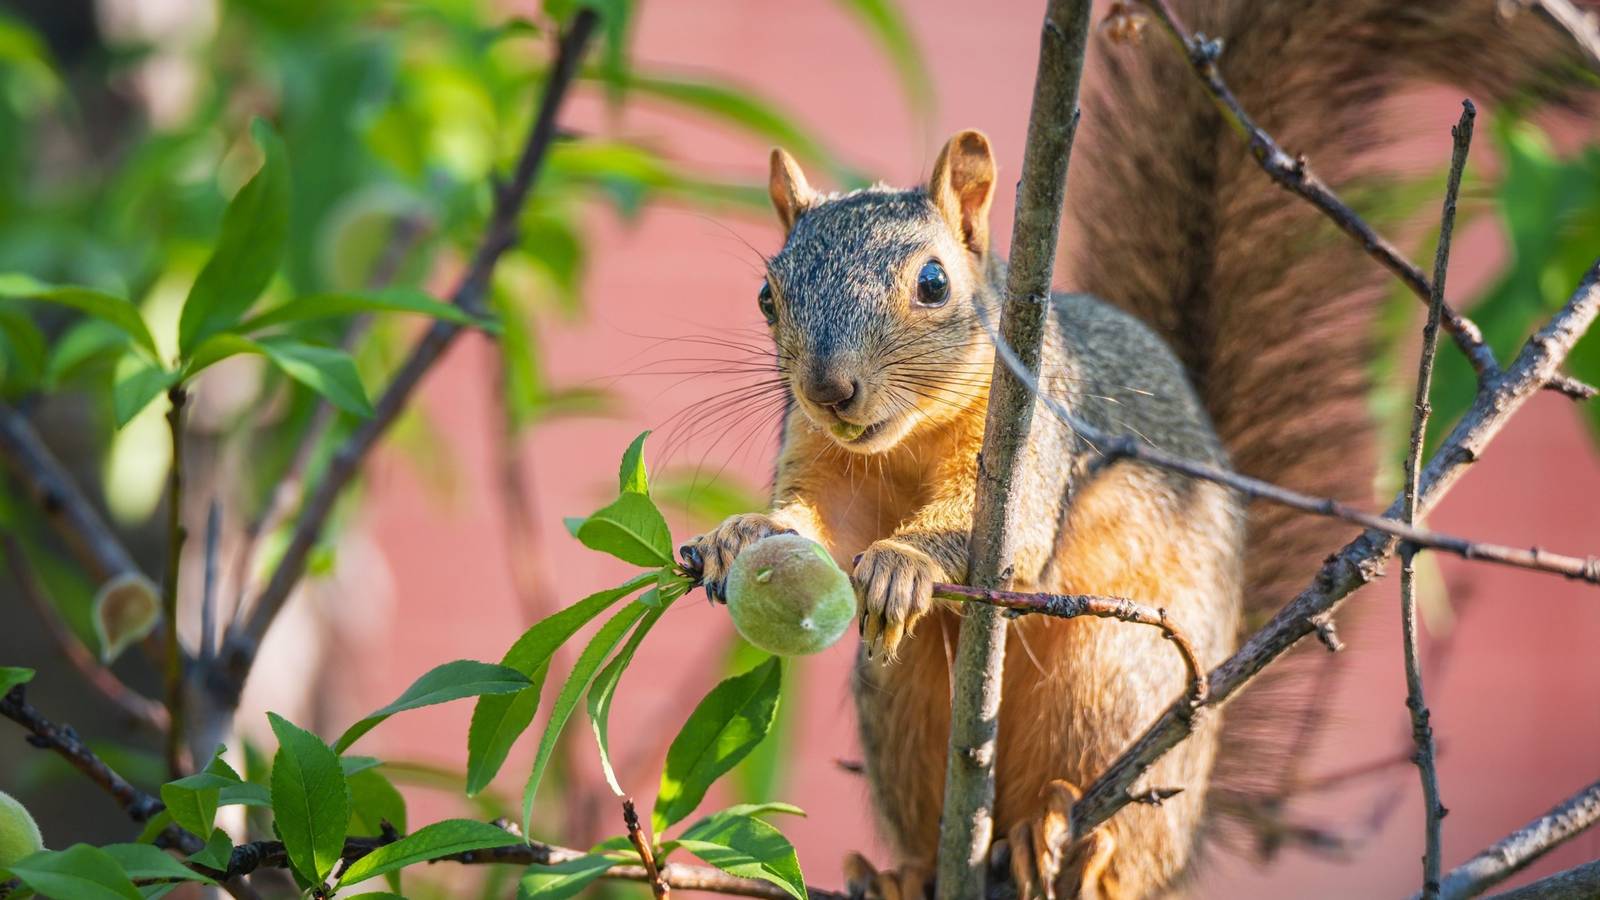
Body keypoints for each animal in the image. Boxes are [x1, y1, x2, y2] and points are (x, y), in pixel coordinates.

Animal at [680, 1, 1587, 896]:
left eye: (934, 284)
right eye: (767, 296)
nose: (830, 390)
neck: (908, 439)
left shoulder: (1038, 437)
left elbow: (1001, 531)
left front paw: (905, 562)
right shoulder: (817, 452)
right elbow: (815, 521)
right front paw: (742, 534)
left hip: (1112, 678)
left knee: (1110, 827)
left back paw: (1062, 832)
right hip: (897, 705)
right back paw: (905, 873)